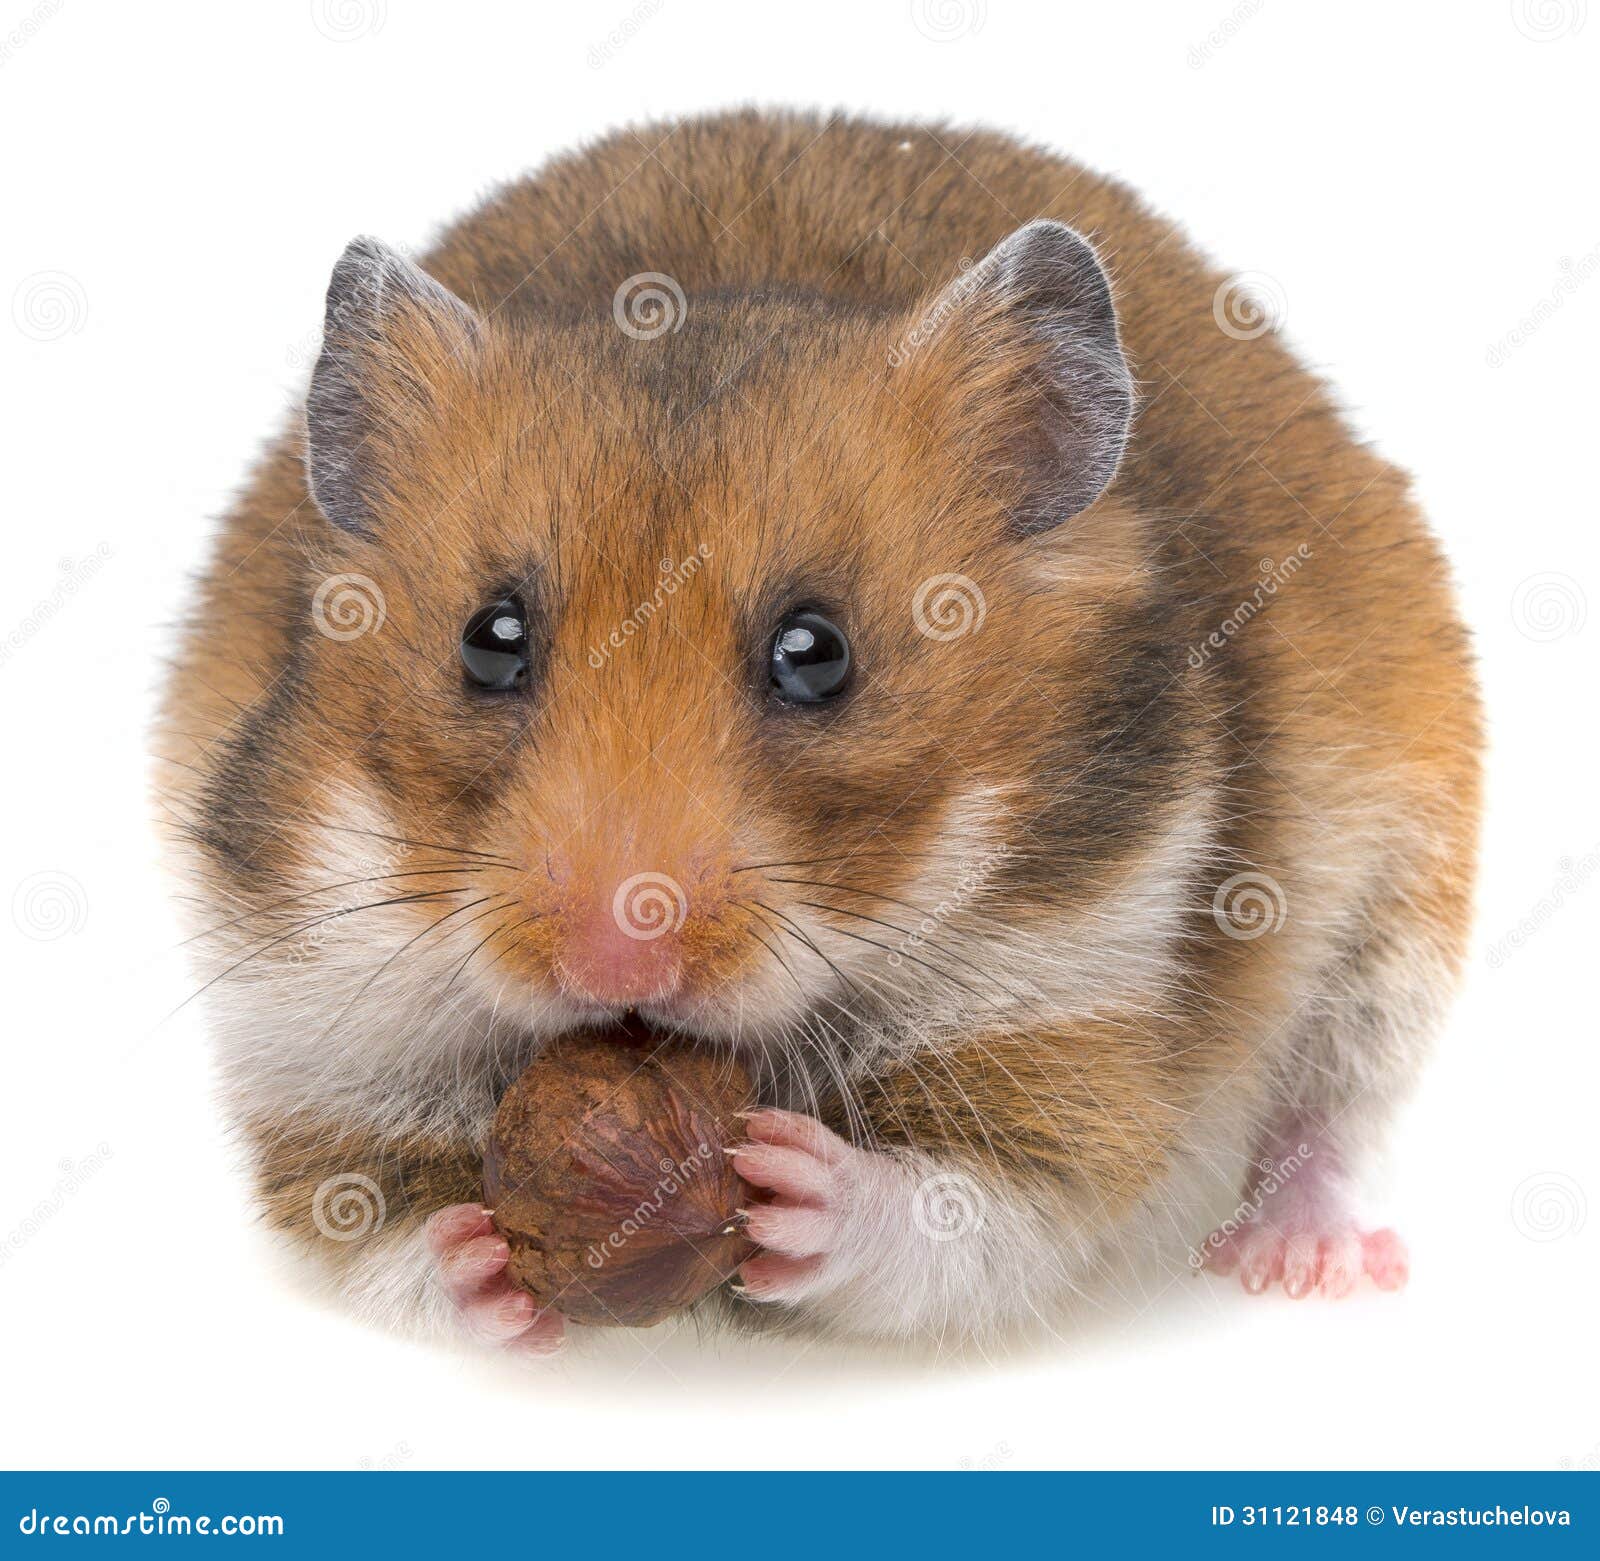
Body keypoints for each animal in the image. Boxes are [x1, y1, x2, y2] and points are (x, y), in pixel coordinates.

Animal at [158, 109, 1481, 1351]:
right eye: (490, 639)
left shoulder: (1081, 1014)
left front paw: (789, 1184)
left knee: (1332, 1115)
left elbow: (976, 1205)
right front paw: (487, 1253)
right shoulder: (307, 1031)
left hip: (1406, 905)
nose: (611, 961)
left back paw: (1301, 1263)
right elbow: (374, 1224)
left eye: (817, 652)